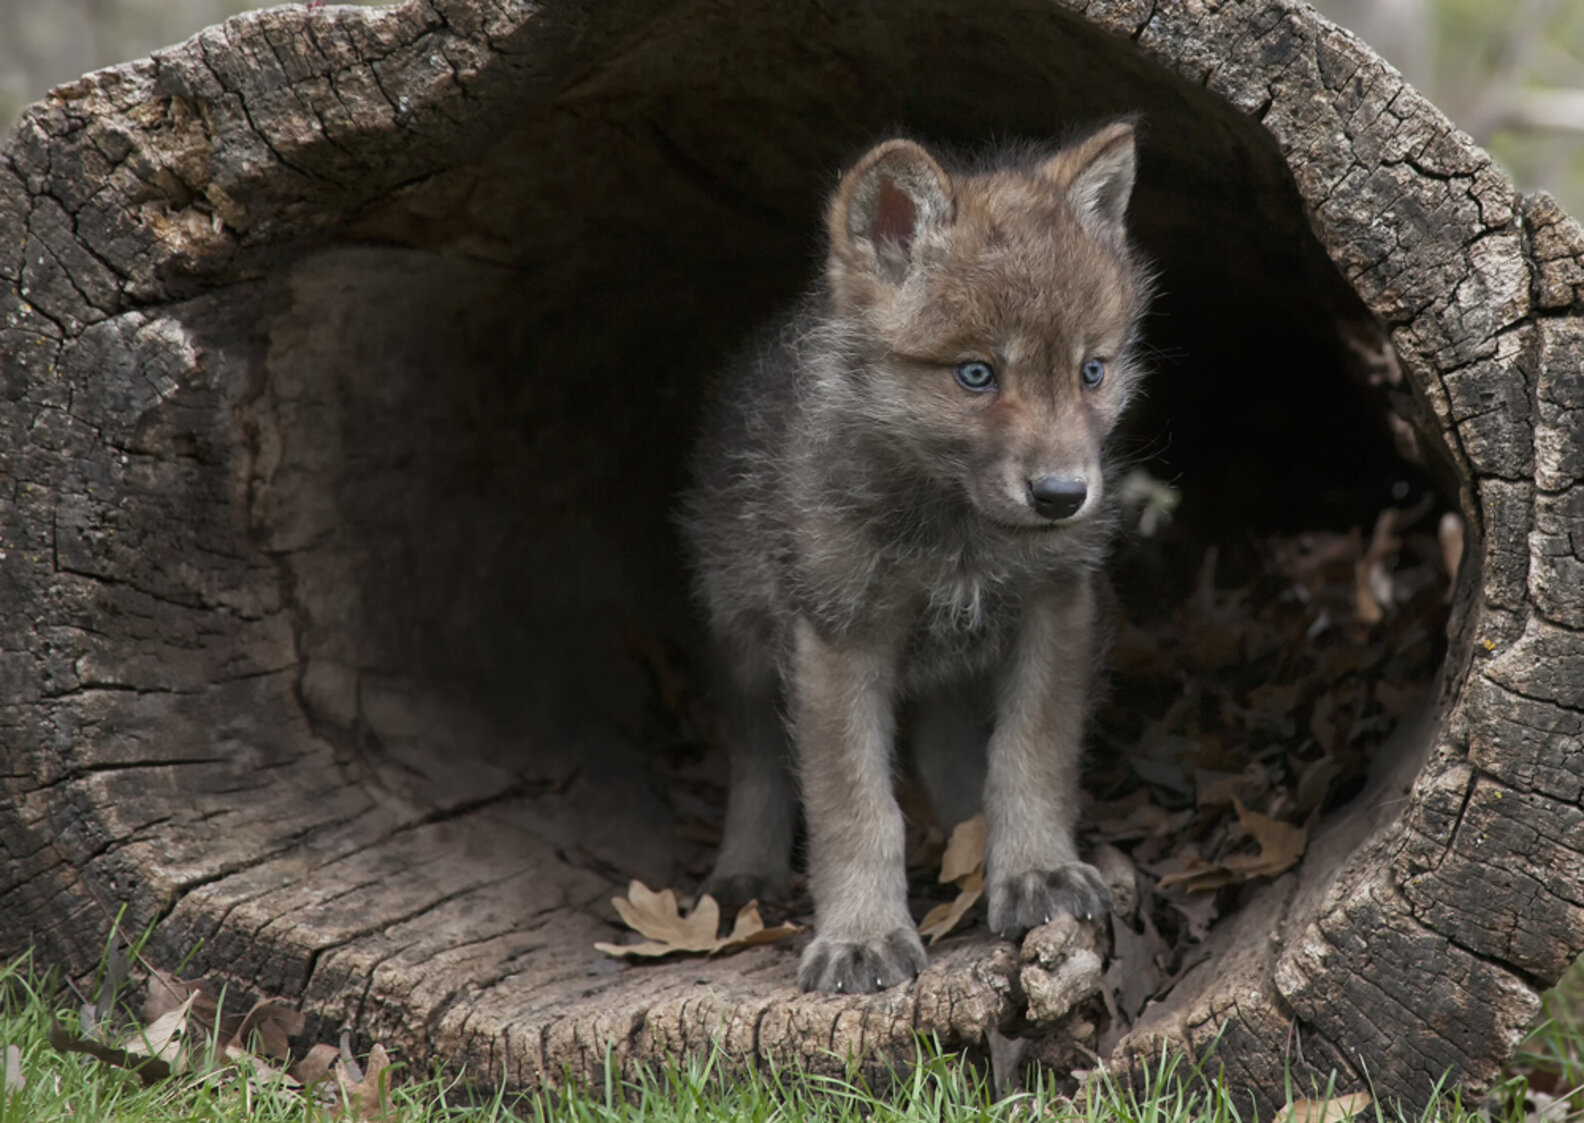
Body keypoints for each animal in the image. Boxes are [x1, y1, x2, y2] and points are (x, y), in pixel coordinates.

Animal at [681, 120, 1151, 994]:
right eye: (976, 373)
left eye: (1091, 371)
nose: (1063, 495)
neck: (956, 536)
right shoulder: (837, 636)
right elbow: (854, 805)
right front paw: (861, 937)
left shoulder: (1058, 603)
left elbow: (1028, 754)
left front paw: (1034, 871)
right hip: (742, 638)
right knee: (757, 757)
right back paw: (744, 874)